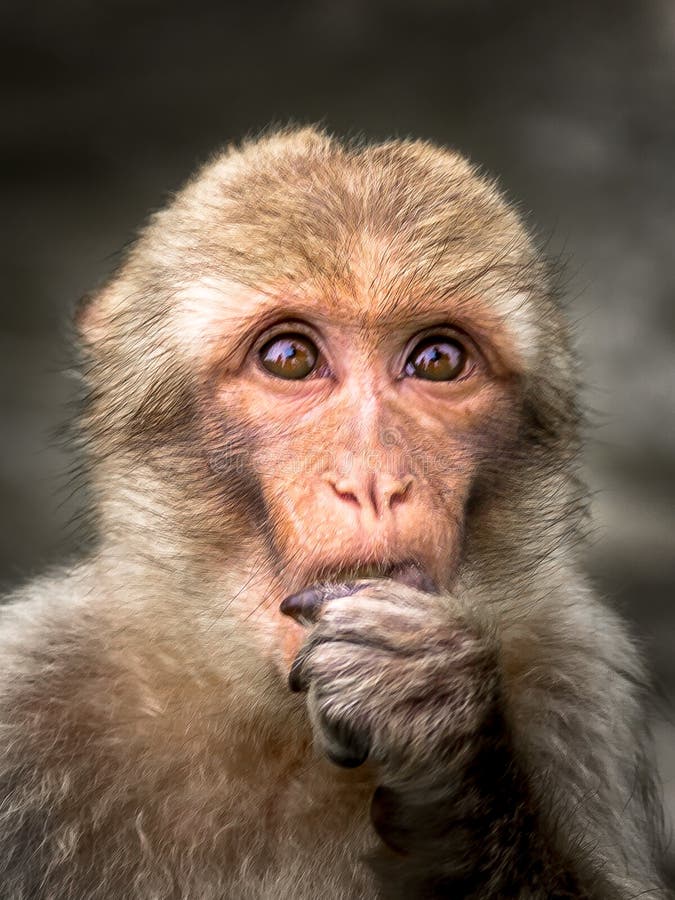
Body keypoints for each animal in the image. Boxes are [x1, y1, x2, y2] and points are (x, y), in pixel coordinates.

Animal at [0, 127, 666, 899]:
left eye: (438, 360)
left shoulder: (577, 682)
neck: (284, 728)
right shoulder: (25, 687)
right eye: (289, 356)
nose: (372, 480)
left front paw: (436, 714)